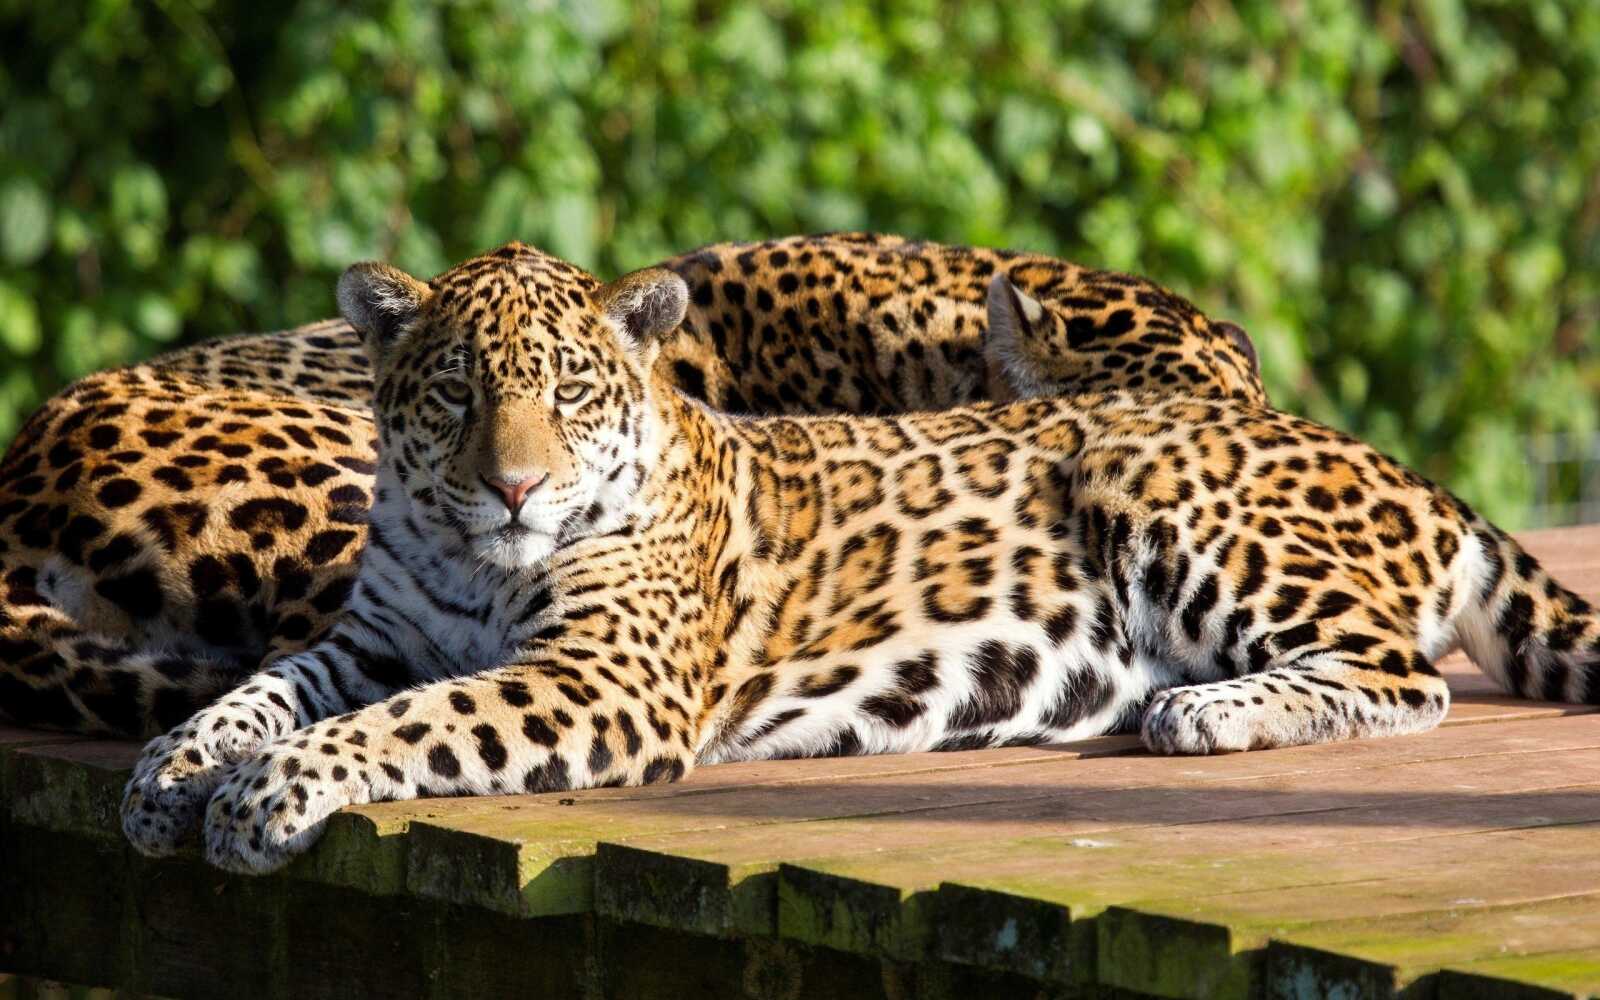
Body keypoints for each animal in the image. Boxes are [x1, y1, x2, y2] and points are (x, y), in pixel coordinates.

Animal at [116, 242, 1599, 874]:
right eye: (455, 393)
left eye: (572, 391)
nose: (517, 484)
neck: (471, 556)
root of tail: (1395, 465)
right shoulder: (368, 639)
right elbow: (257, 692)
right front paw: (167, 775)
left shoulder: (600, 681)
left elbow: (408, 722)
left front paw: (262, 797)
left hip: (1167, 493)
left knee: (1409, 678)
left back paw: (1204, 711)